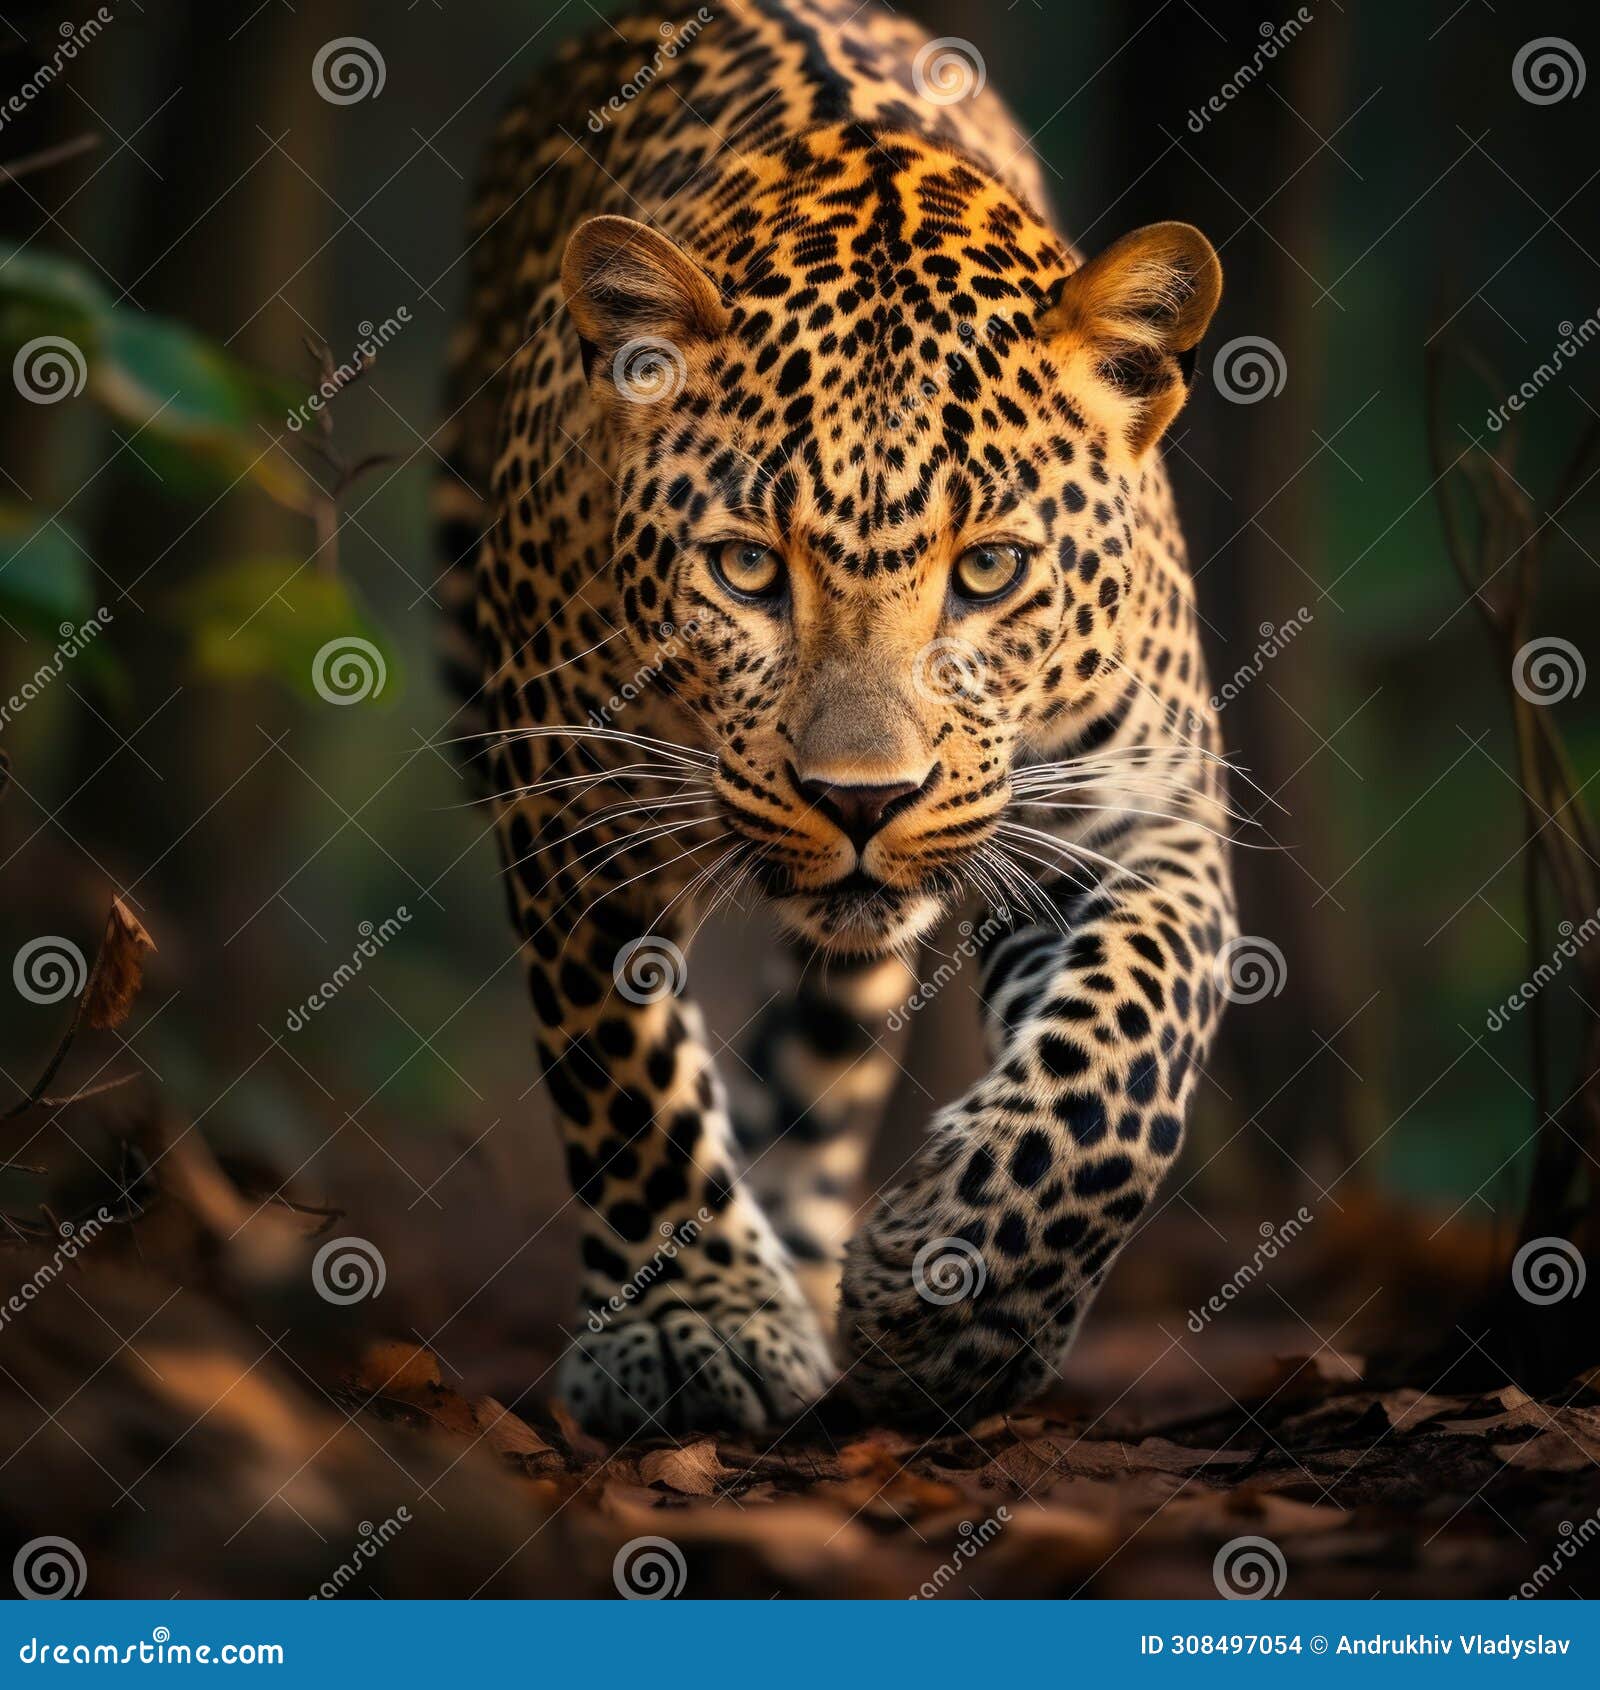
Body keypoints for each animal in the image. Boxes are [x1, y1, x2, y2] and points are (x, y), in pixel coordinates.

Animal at [434, 0, 1238, 1437]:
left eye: (990, 569)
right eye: (749, 568)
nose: (862, 800)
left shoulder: (1143, 818)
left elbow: (1127, 1061)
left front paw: (957, 1298)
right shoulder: (571, 805)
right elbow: (630, 1082)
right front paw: (692, 1329)